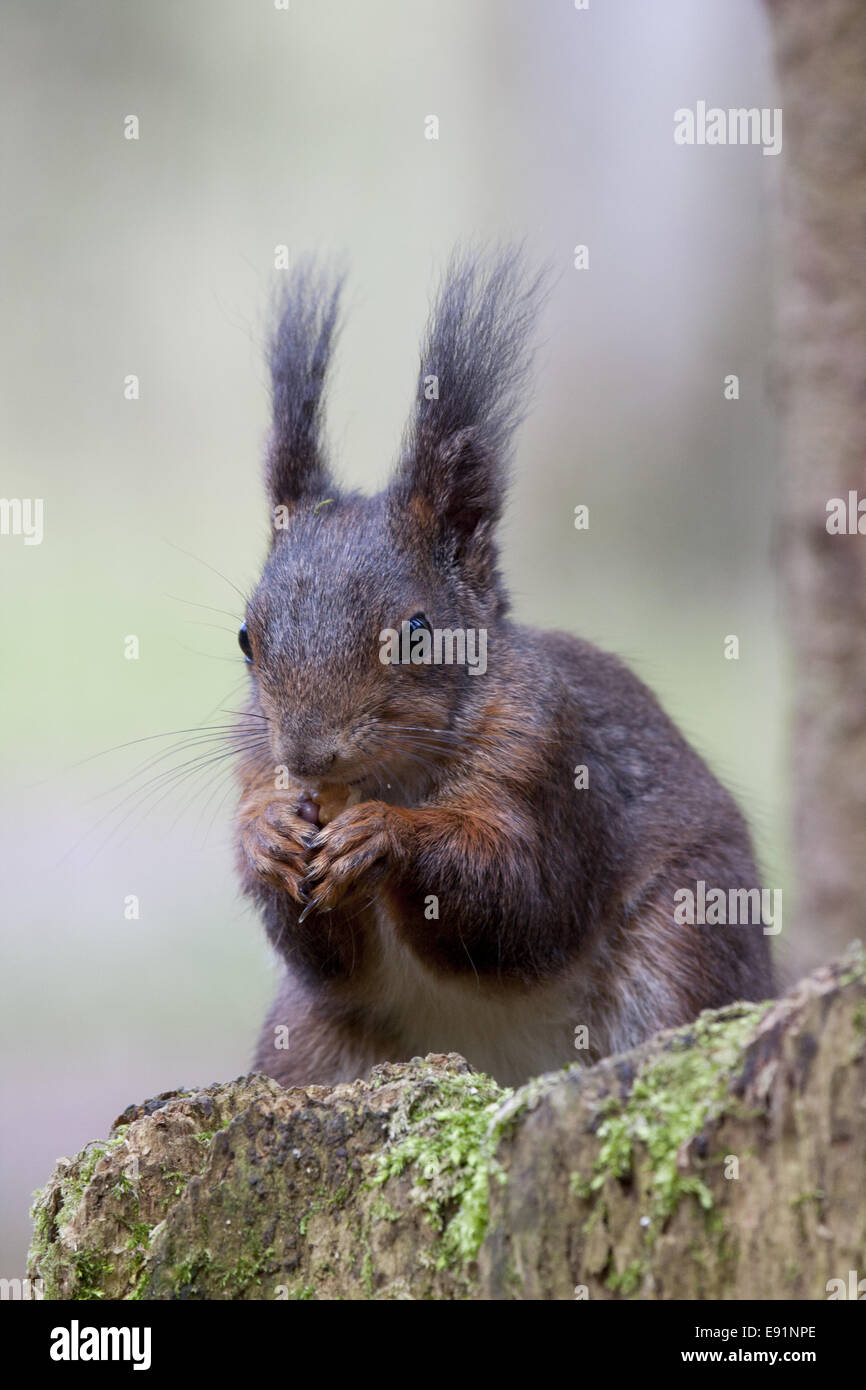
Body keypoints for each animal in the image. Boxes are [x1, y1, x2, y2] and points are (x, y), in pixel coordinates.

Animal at [234, 248, 774, 1089]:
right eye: (245, 640)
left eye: (418, 633)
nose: (307, 753)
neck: (392, 776)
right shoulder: (254, 767)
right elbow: (329, 956)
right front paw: (266, 839)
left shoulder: (550, 762)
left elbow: (519, 901)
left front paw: (387, 835)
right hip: (308, 1042)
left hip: (686, 938)